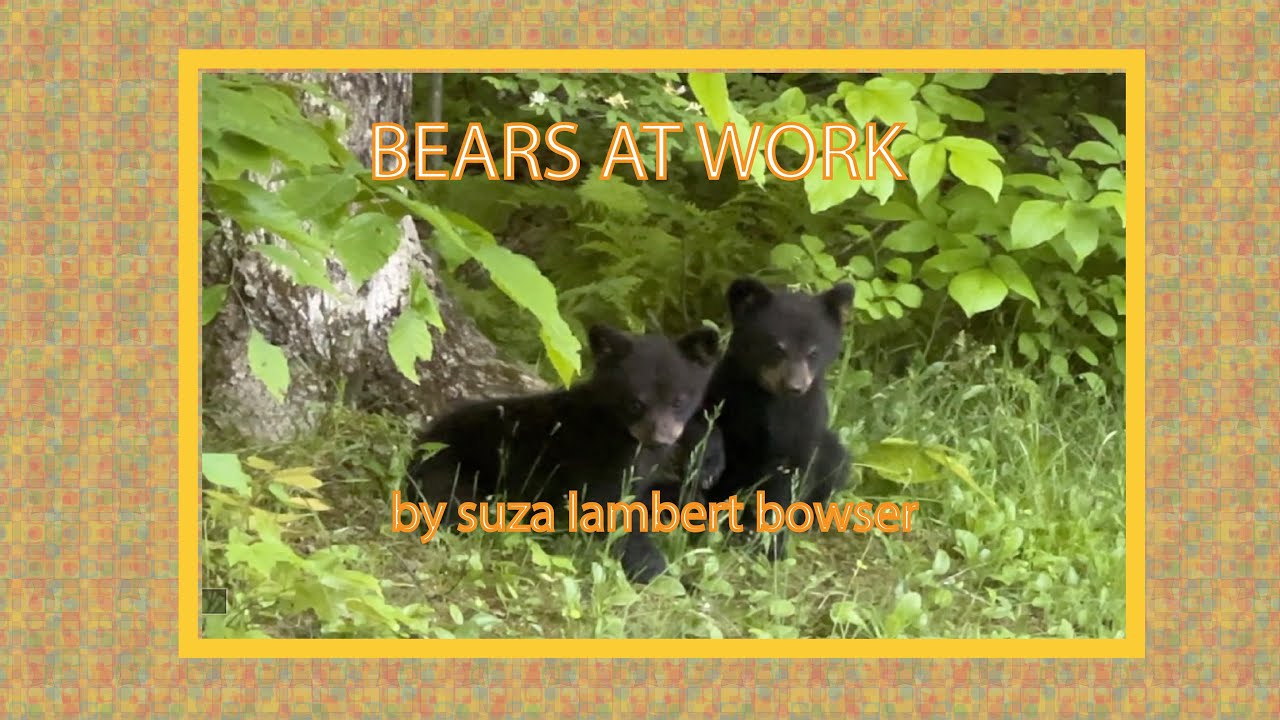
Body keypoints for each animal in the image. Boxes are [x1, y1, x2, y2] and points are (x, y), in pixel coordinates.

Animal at [401, 323, 722, 583]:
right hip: (454, 468)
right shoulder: (599, 458)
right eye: (635, 403)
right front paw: (667, 576)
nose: (659, 438)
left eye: (678, 401)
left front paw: (704, 474)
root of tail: (421, 442)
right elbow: (610, 513)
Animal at [688, 276, 855, 561]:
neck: (772, 402)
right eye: (777, 347)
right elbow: (705, 424)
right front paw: (710, 461)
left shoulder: (803, 427)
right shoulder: (725, 396)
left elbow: (784, 486)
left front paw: (770, 544)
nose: (795, 386)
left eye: (814, 352)